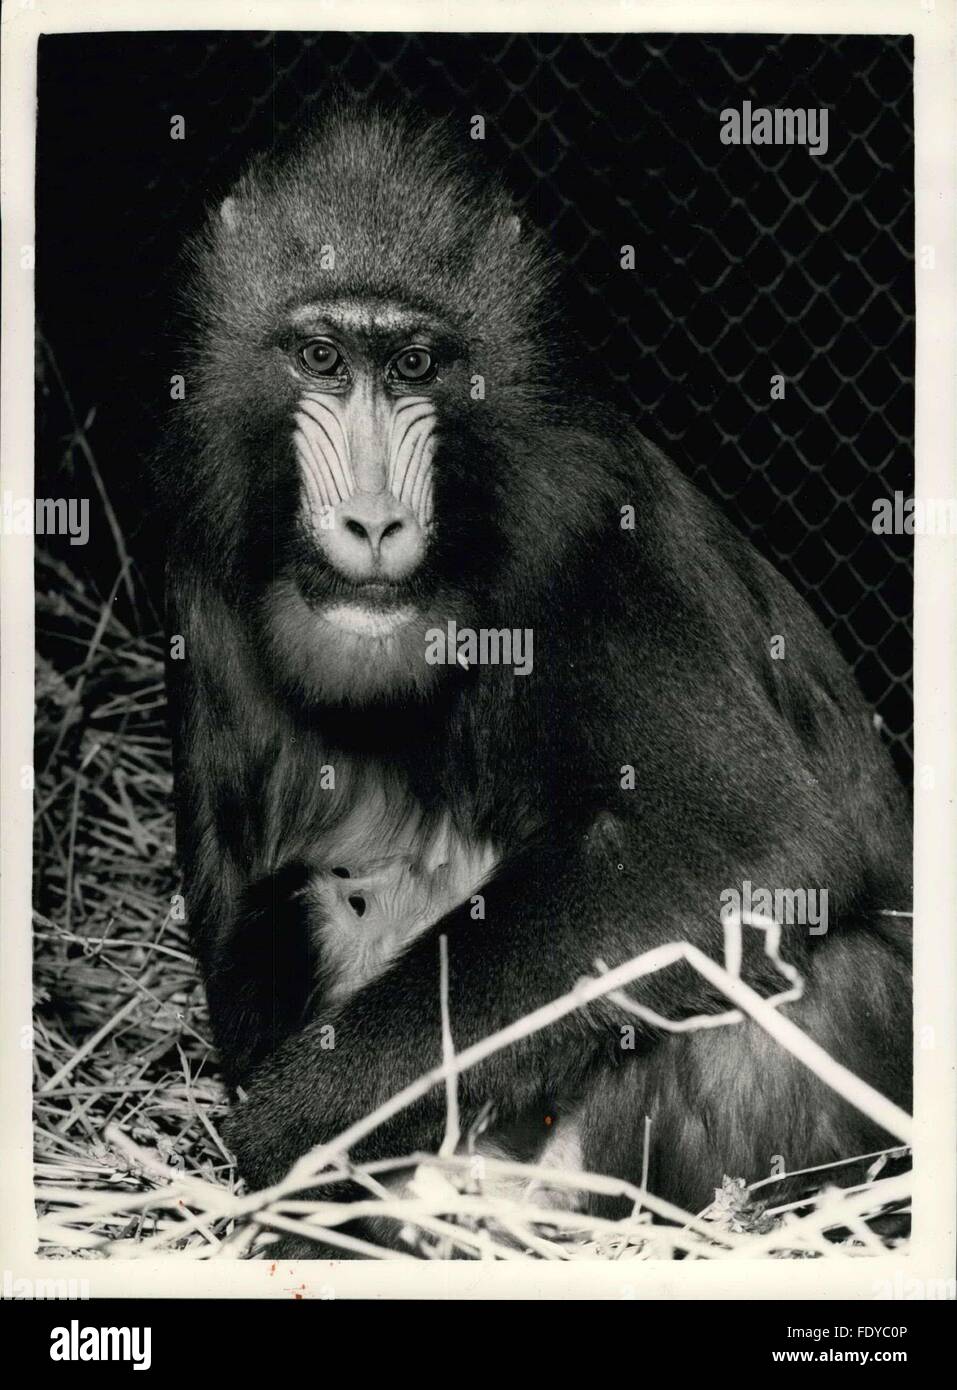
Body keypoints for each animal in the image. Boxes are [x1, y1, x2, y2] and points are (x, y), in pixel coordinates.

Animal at [160, 104, 911, 1256]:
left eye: (416, 361)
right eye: (322, 356)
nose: (370, 521)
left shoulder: (589, 520)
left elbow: (740, 842)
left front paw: (290, 1128)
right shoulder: (204, 556)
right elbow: (250, 911)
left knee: (801, 977)